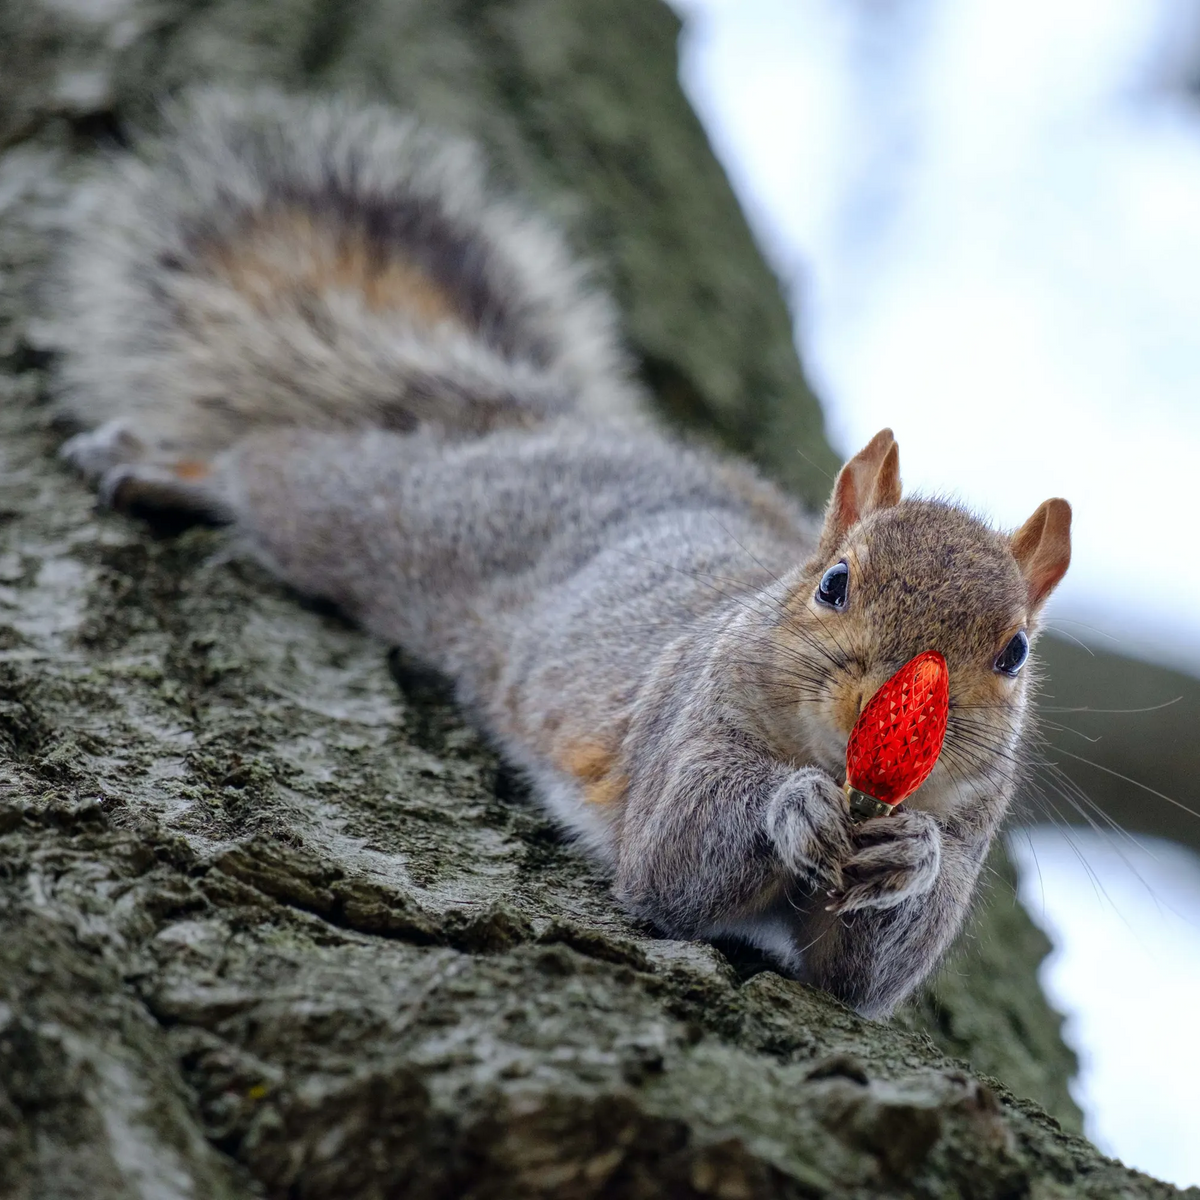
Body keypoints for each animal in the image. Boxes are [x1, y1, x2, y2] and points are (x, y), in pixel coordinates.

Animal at [50, 89, 1071, 1018]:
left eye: (1016, 653)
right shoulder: (684, 722)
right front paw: (793, 805)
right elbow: (673, 858)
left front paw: (912, 857)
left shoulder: (966, 831)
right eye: (834, 584)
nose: (876, 716)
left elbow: (865, 978)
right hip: (382, 514)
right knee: (276, 467)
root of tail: (538, 430)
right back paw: (172, 470)